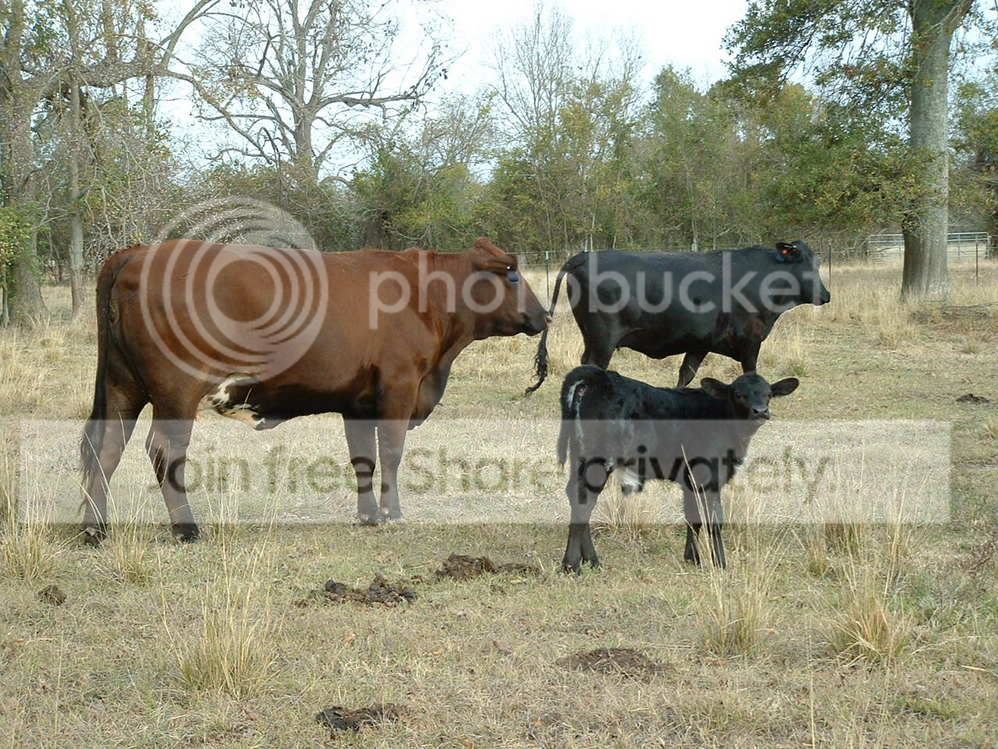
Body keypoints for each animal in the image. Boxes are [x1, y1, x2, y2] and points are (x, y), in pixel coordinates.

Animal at [80, 237, 548, 544]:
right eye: (512, 275)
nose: (545, 315)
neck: (425, 294)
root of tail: (138, 252)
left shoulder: (358, 402)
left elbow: (364, 458)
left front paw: (367, 516)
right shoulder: (398, 386)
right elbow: (391, 453)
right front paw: (392, 513)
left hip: (122, 387)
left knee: (106, 448)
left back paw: (94, 528)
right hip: (176, 393)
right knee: (164, 451)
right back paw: (187, 528)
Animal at [525, 241, 829, 394]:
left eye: (817, 262)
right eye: (802, 260)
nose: (825, 295)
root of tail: (584, 255)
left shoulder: (699, 344)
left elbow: (686, 375)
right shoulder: (750, 340)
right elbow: (750, 374)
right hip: (603, 341)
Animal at [556, 365, 799, 572]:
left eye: (768, 394)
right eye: (739, 394)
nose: (761, 411)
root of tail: (596, 375)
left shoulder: (689, 479)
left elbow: (693, 517)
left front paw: (693, 559)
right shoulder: (708, 476)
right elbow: (714, 519)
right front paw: (720, 564)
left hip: (579, 455)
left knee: (575, 496)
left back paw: (590, 561)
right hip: (598, 459)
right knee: (584, 499)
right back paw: (572, 565)